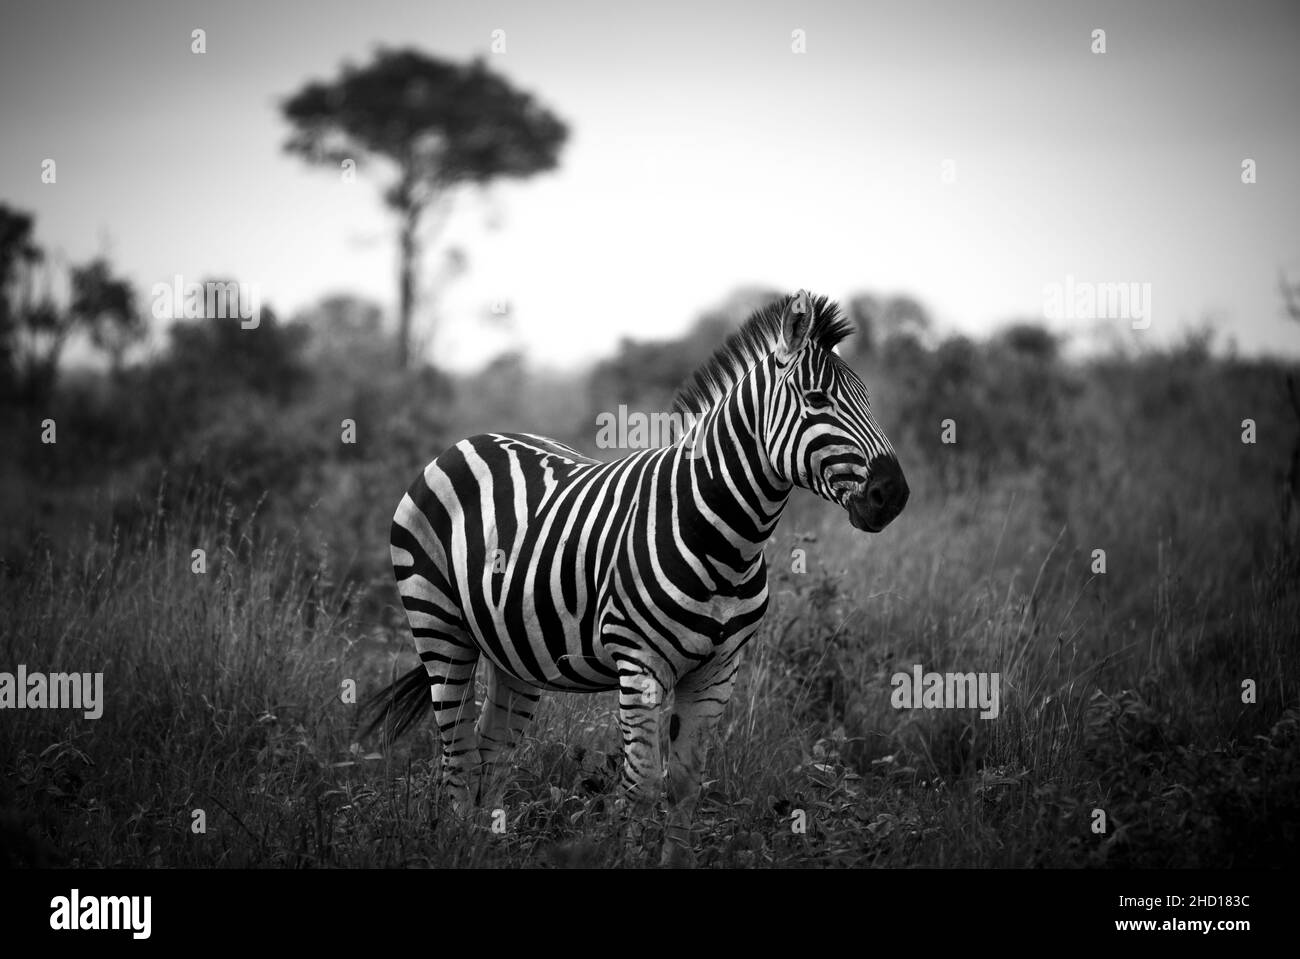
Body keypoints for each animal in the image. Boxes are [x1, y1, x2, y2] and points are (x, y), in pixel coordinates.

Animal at [364, 290, 909, 864]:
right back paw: (458, 846)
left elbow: (686, 783)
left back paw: (484, 848)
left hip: (513, 648)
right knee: (458, 756)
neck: (728, 539)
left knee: (493, 753)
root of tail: (467, 442)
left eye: (867, 396)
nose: (893, 494)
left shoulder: (719, 670)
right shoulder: (639, 662)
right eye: (816, 399)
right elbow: (641, 784)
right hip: (438, 626)